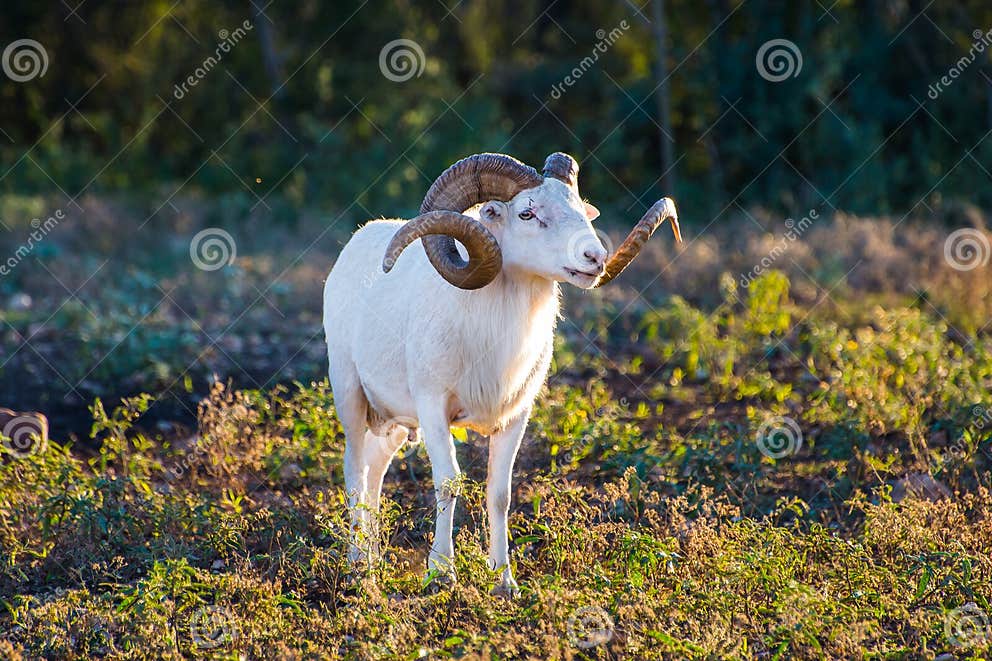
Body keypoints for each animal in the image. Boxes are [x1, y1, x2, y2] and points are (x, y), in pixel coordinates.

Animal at [322, 152, 681, 597]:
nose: (594, 258)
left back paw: (373, 562)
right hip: (351, 399)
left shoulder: (515, 416)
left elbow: (499, 494)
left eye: (582, 210)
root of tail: (354, 246)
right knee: (355, 473)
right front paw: (441, 575)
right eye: (527, 213)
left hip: (393, 424)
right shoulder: (433, 407)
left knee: (374, 474)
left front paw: (504, 582)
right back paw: (358, 571)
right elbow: (449, 483)